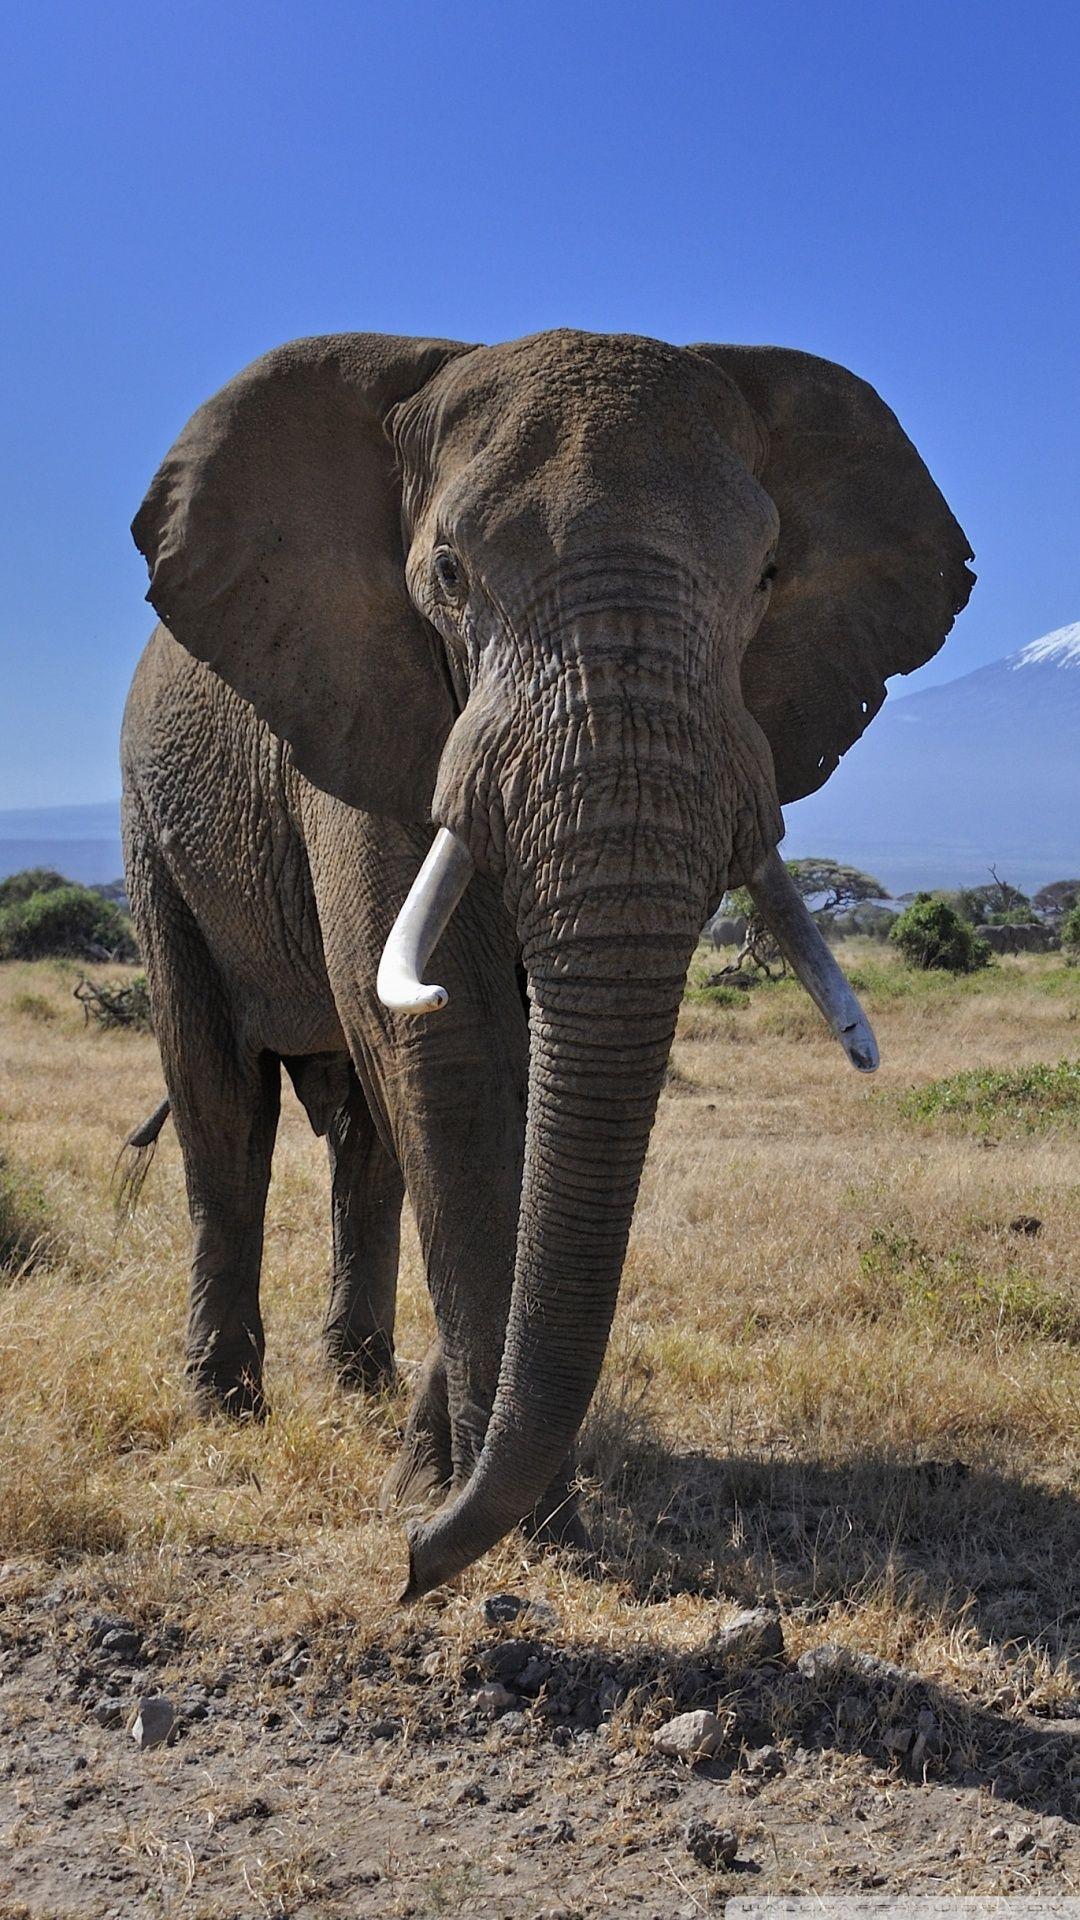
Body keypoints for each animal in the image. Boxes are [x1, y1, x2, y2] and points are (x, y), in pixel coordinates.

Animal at [122, 328, 974, 1597]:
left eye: (767, 577)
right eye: (448, 575)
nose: (410, 1568)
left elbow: (520, 1085)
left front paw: (447, 1484)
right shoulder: (365, 696)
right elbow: (453, 1043)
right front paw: (509, 1521)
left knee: (367, 1139)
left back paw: (359, 1390)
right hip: (155, 830)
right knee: (222, 1100)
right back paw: (226, 1411)